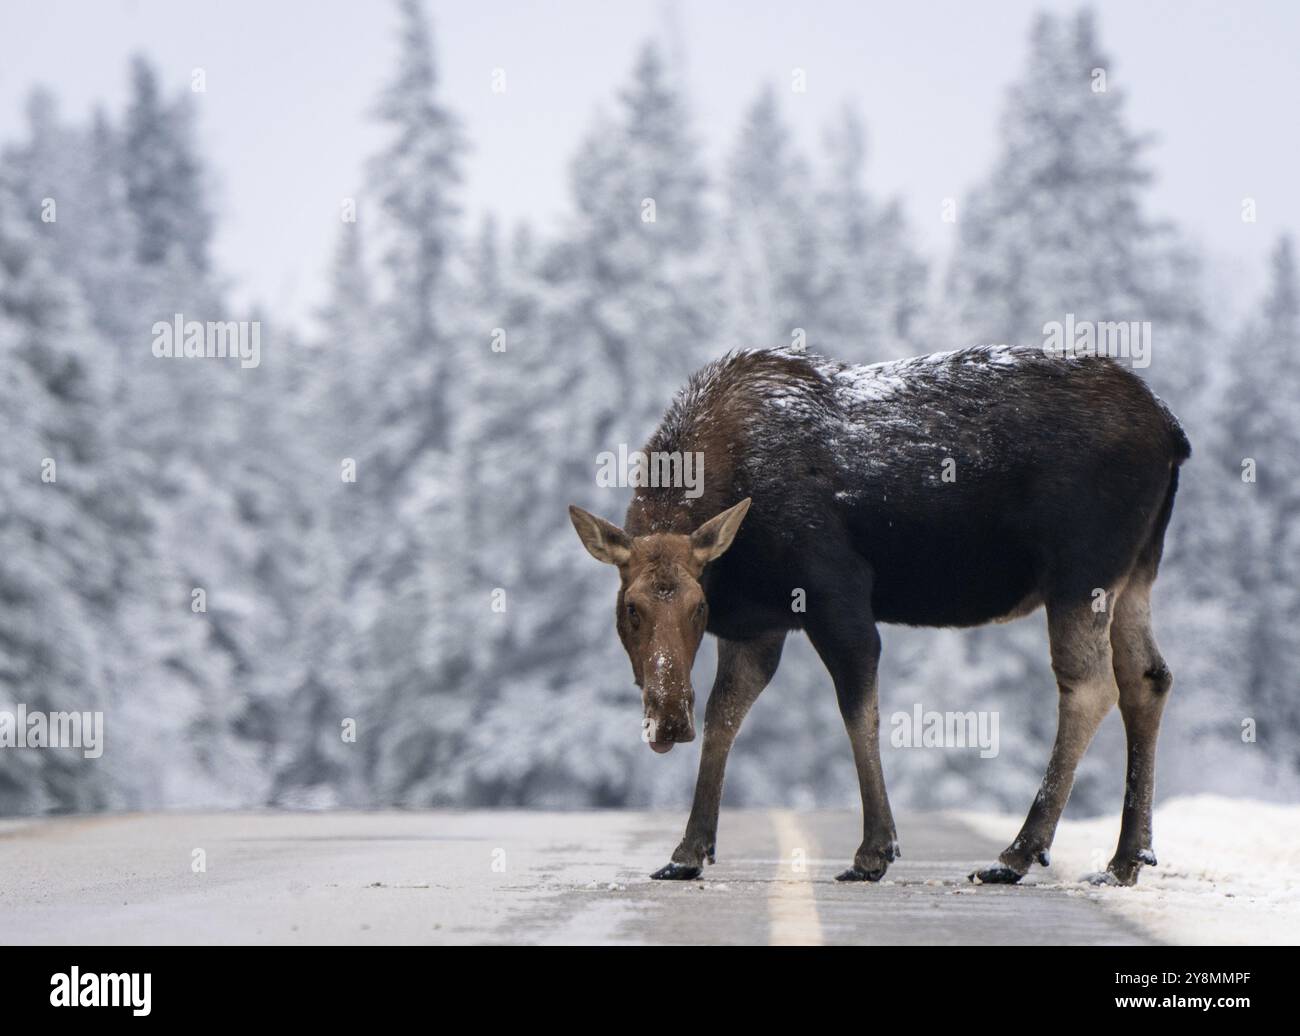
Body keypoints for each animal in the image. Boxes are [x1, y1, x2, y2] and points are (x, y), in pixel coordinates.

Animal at [569, 345, 1189, 887]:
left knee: (1089, 685)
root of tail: (1174, 435)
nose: (669, 719)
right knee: (1148, 678)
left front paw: (874, 851)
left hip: (1080, 569)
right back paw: (1126, 859)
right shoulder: (758, 625)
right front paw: (688, 851)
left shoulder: (833, 591)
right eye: (630, 608)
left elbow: (857, 712)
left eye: (699, 606)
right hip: (1137, 570)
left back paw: (1015, 855)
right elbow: (725, 717)